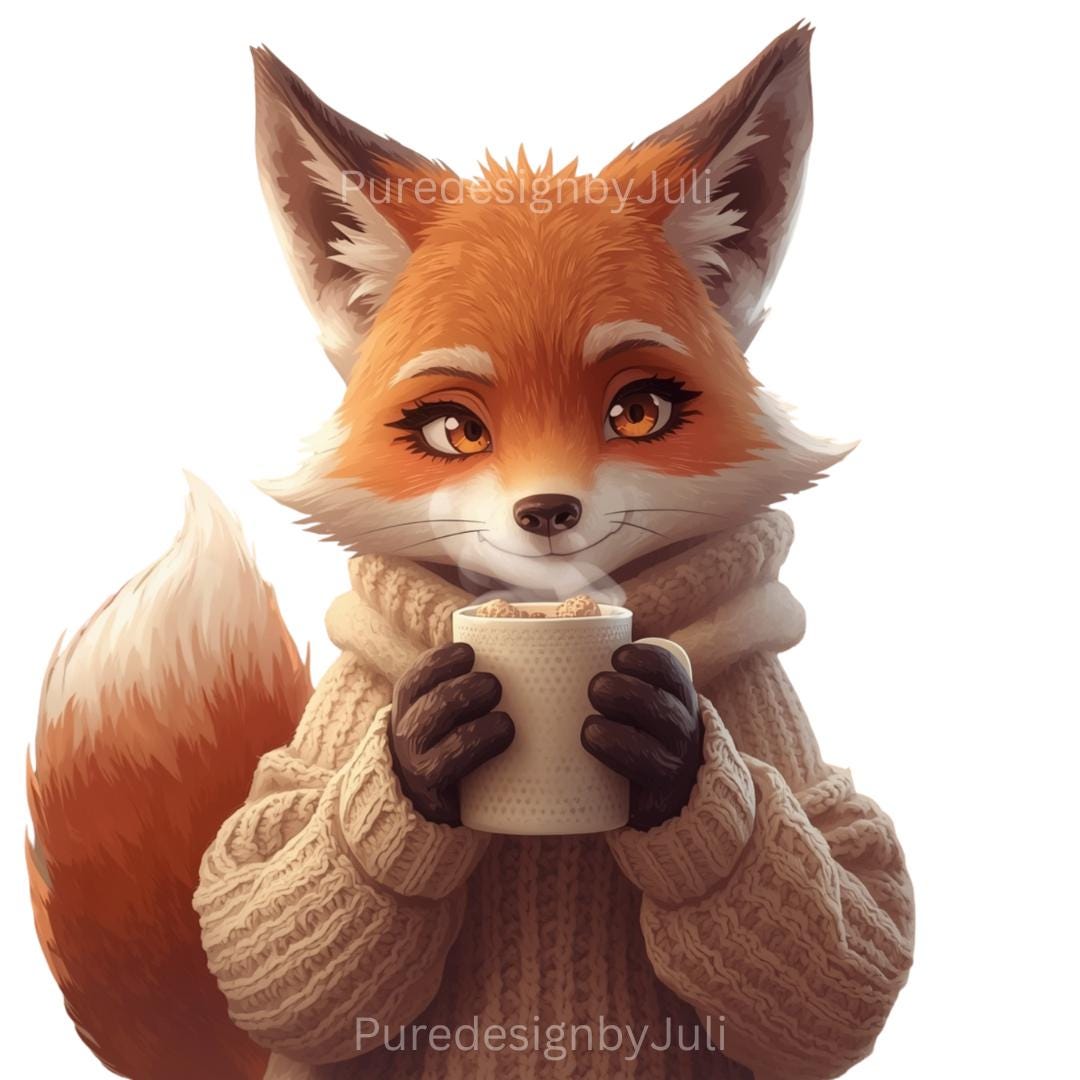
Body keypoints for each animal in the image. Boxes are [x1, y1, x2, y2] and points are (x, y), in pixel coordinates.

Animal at [27, 22, 914, 1080]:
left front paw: (670, 741)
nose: (547, 510)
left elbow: (856, 917)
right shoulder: (338, 717)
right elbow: (252, 891)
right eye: (454, 430)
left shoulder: (770, 711)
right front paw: (424, 744)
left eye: (639, 412)